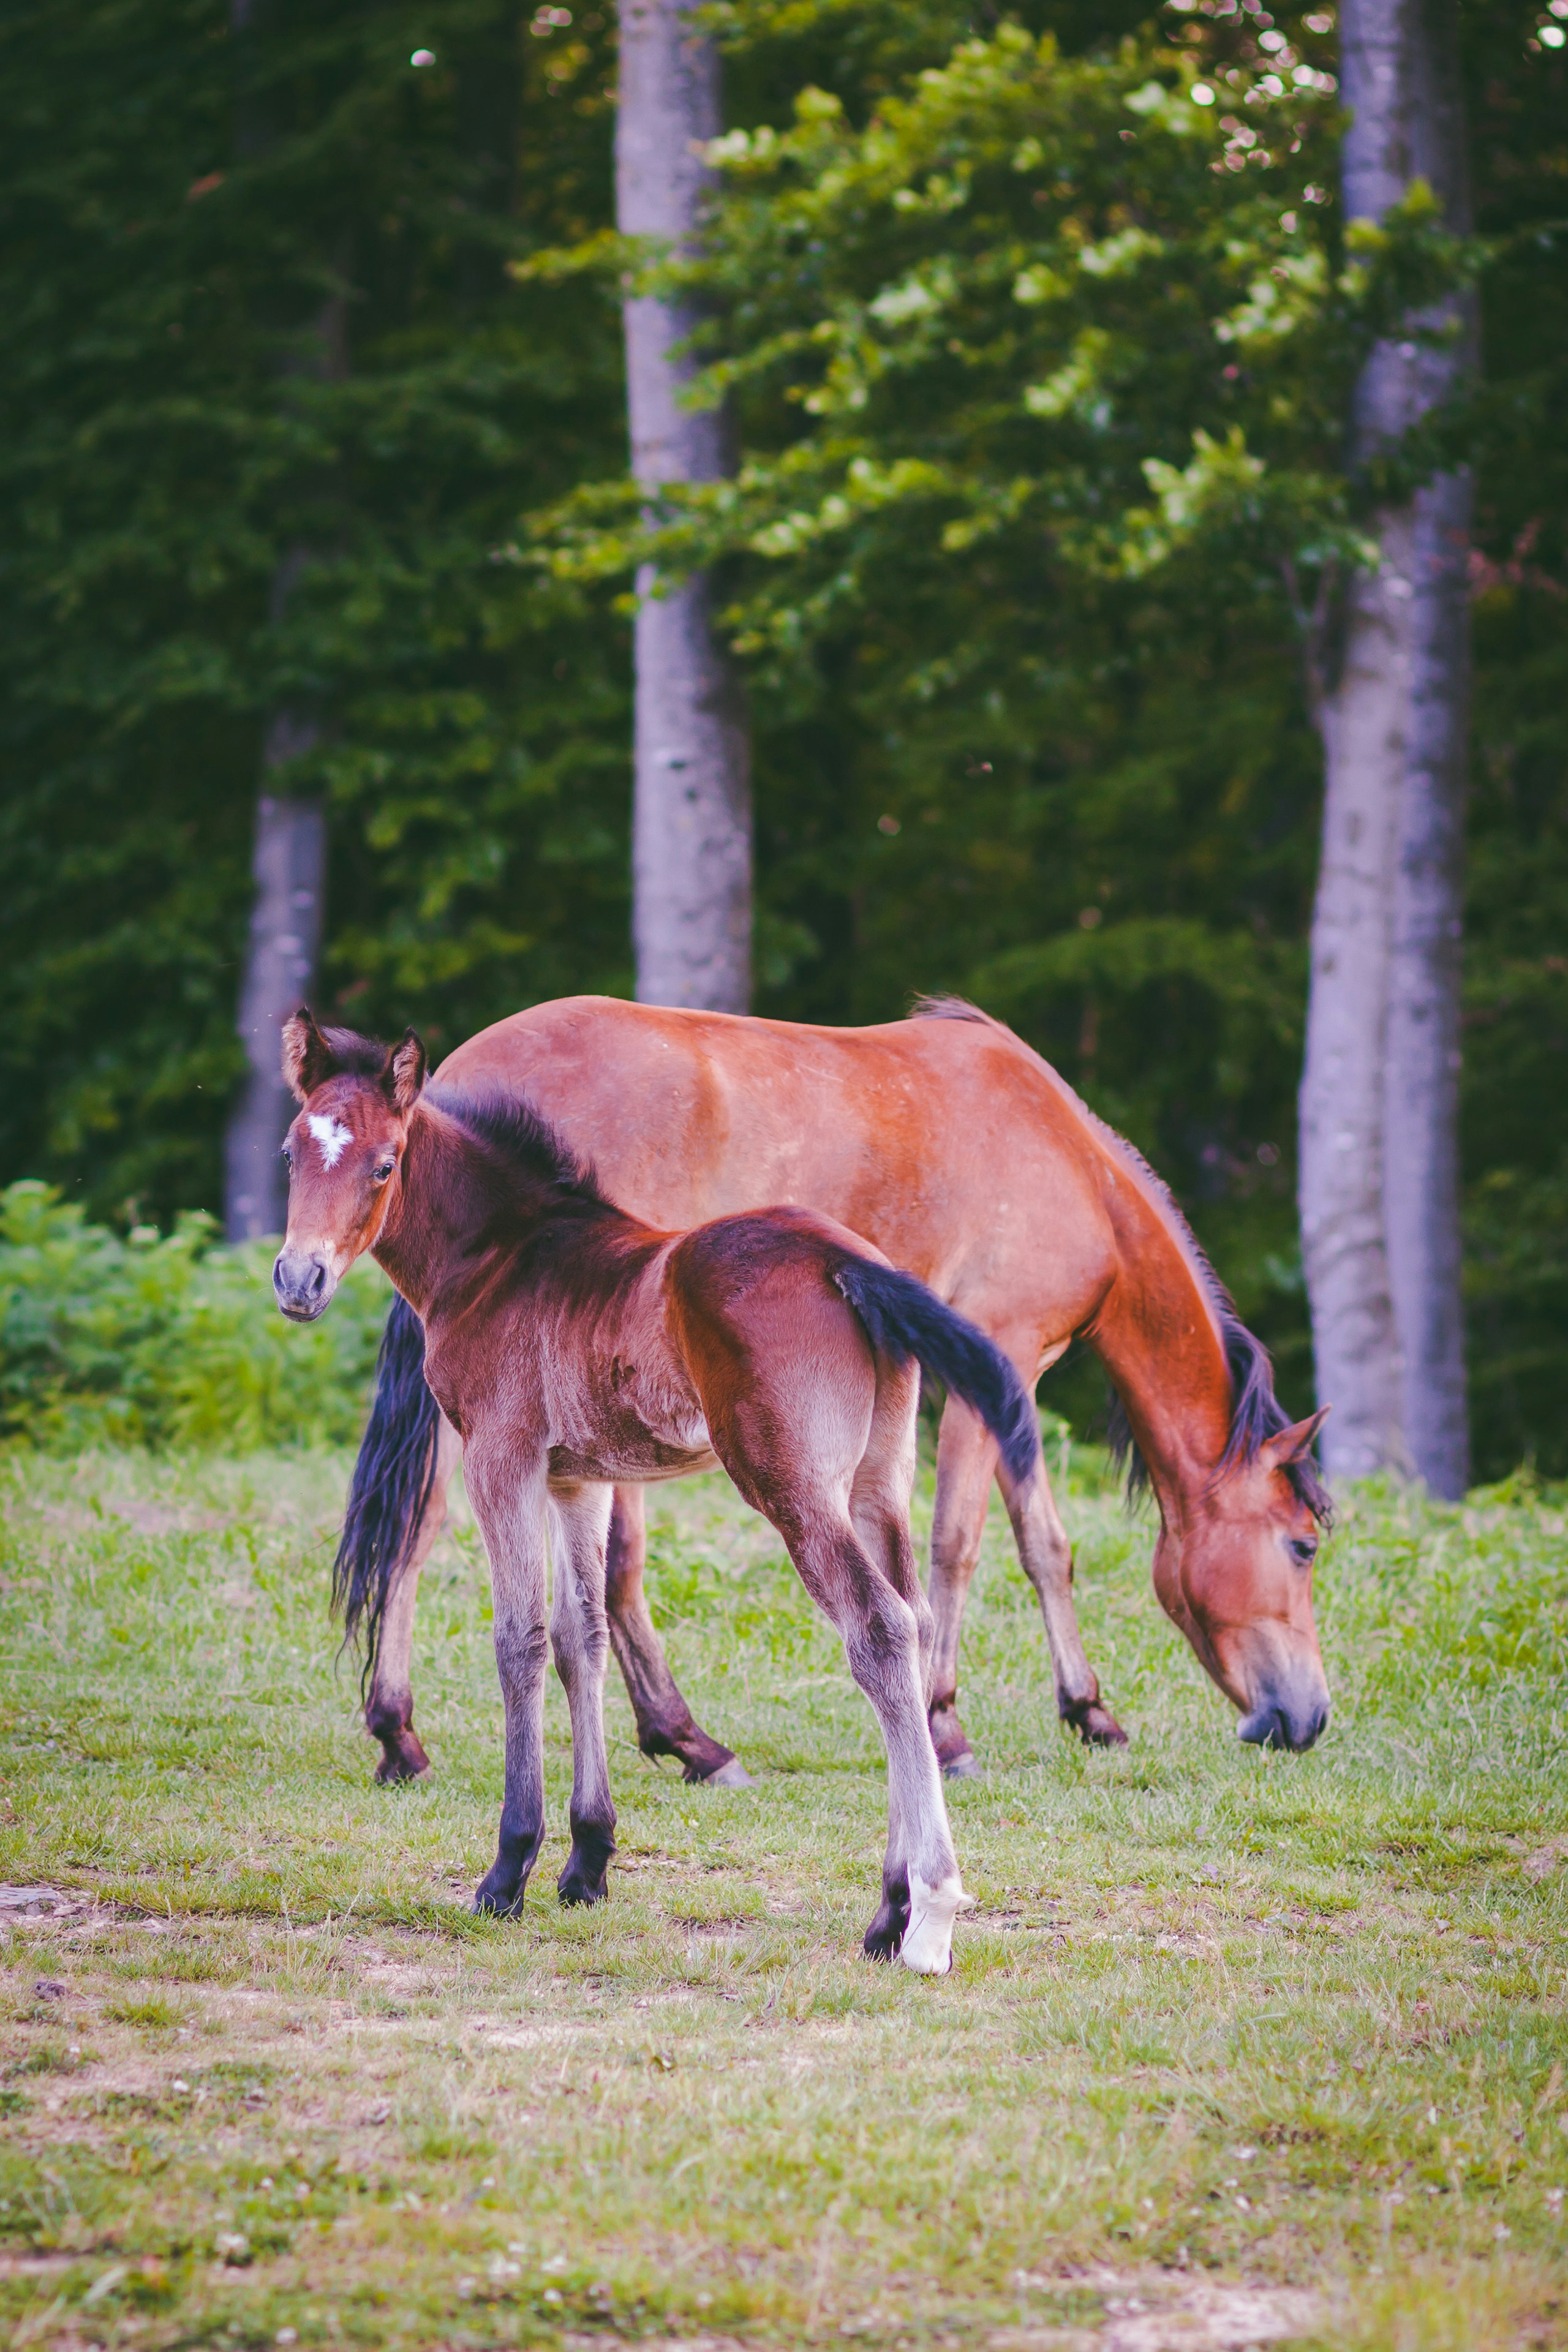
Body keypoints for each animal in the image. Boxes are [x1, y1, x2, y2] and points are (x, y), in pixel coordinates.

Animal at [272, 1010, 1043, 1973]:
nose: (298, 1281)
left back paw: (928, 1913)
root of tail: (848, 1262)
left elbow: (520, 1641)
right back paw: (886, 1912)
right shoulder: (578, 1479)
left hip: (793, 1487)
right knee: (916, 1616)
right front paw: (588, 1862)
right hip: (879, 1481)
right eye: (293, 1152)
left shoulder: (502, 1459)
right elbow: (582, 1639)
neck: (500, 1259)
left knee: (879, 1629)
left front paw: (508, 1872)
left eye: (384, 1163)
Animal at [337, 995, 1333, 1788]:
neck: (1073, 1166)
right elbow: (957, 1545)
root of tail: (457, 1074)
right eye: (1303, 1546)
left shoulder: (1013, 1383)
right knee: (609, 1564)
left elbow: (1045, 1545)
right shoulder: (995, 1365)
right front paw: (945, 1725)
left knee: (424, 1528)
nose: (1309, 1718)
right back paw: (684, 1739)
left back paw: (406, 1733)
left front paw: (1088, 1710)